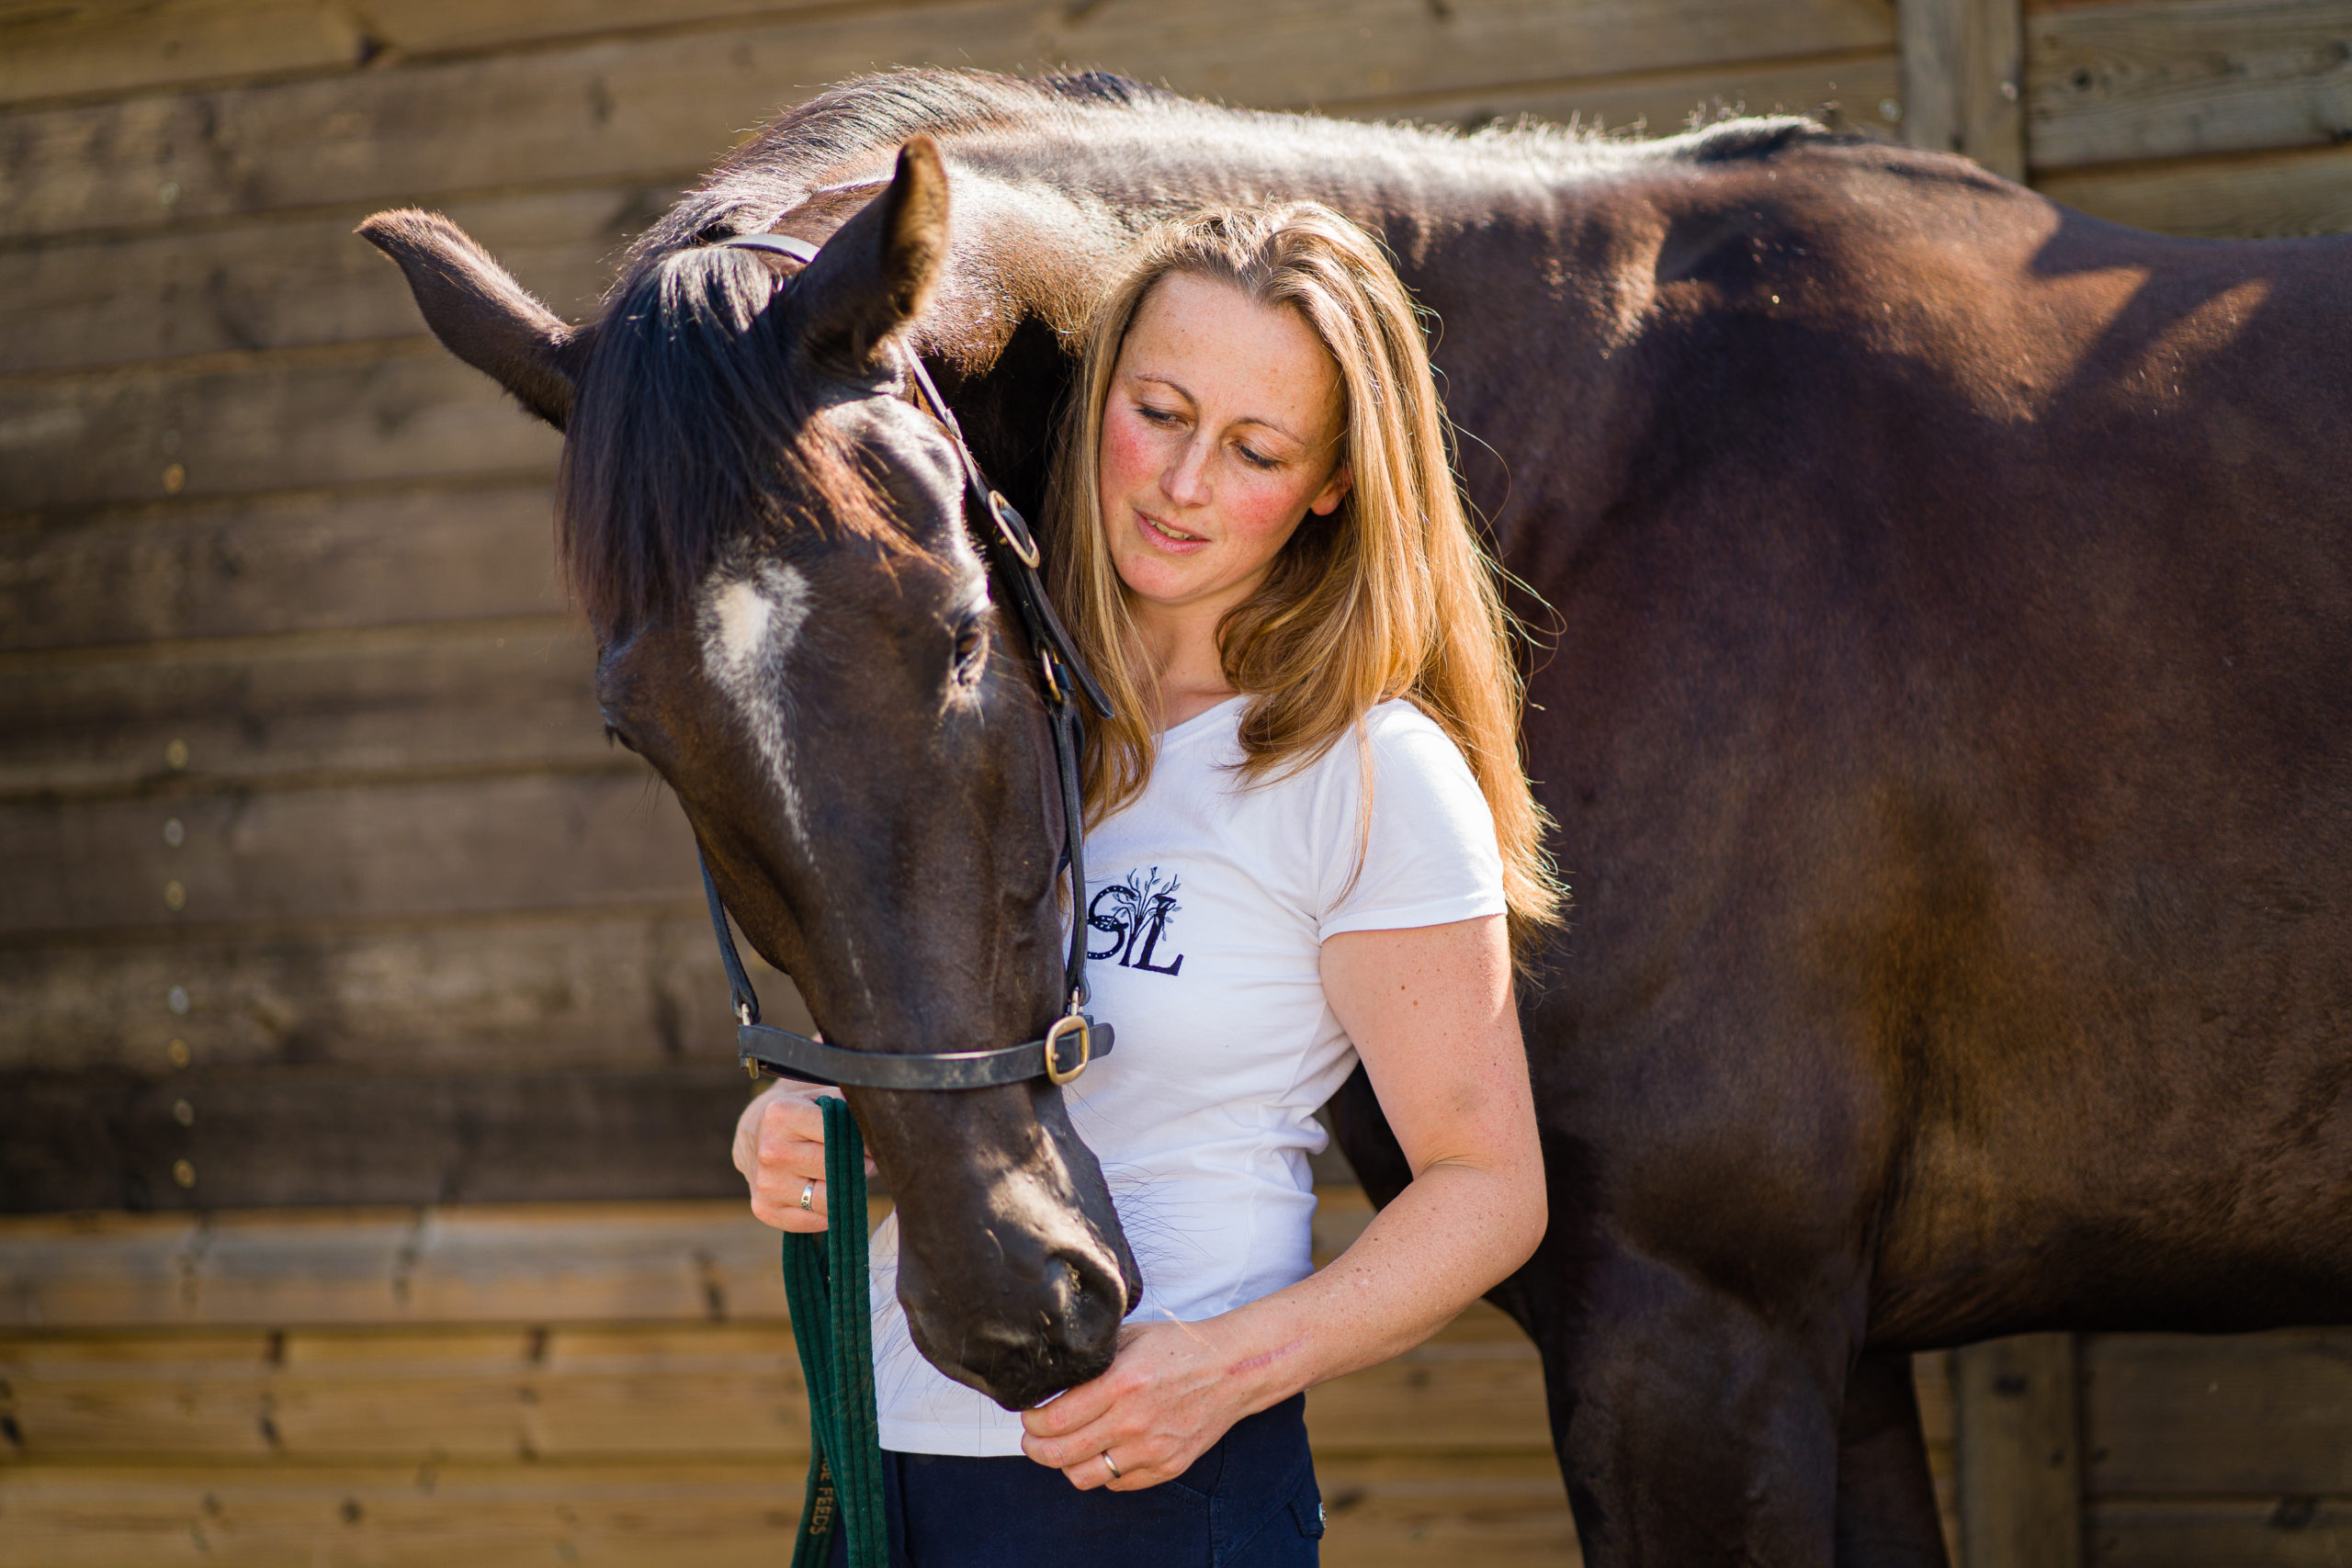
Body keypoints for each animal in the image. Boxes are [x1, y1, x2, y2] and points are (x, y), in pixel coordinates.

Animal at [360, 69, 2352, 1564]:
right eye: (639, 731)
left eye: (957, 632)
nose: (1012, 1302)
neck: (1606, 509)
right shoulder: (1823, 1351)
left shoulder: (1706, 1332)